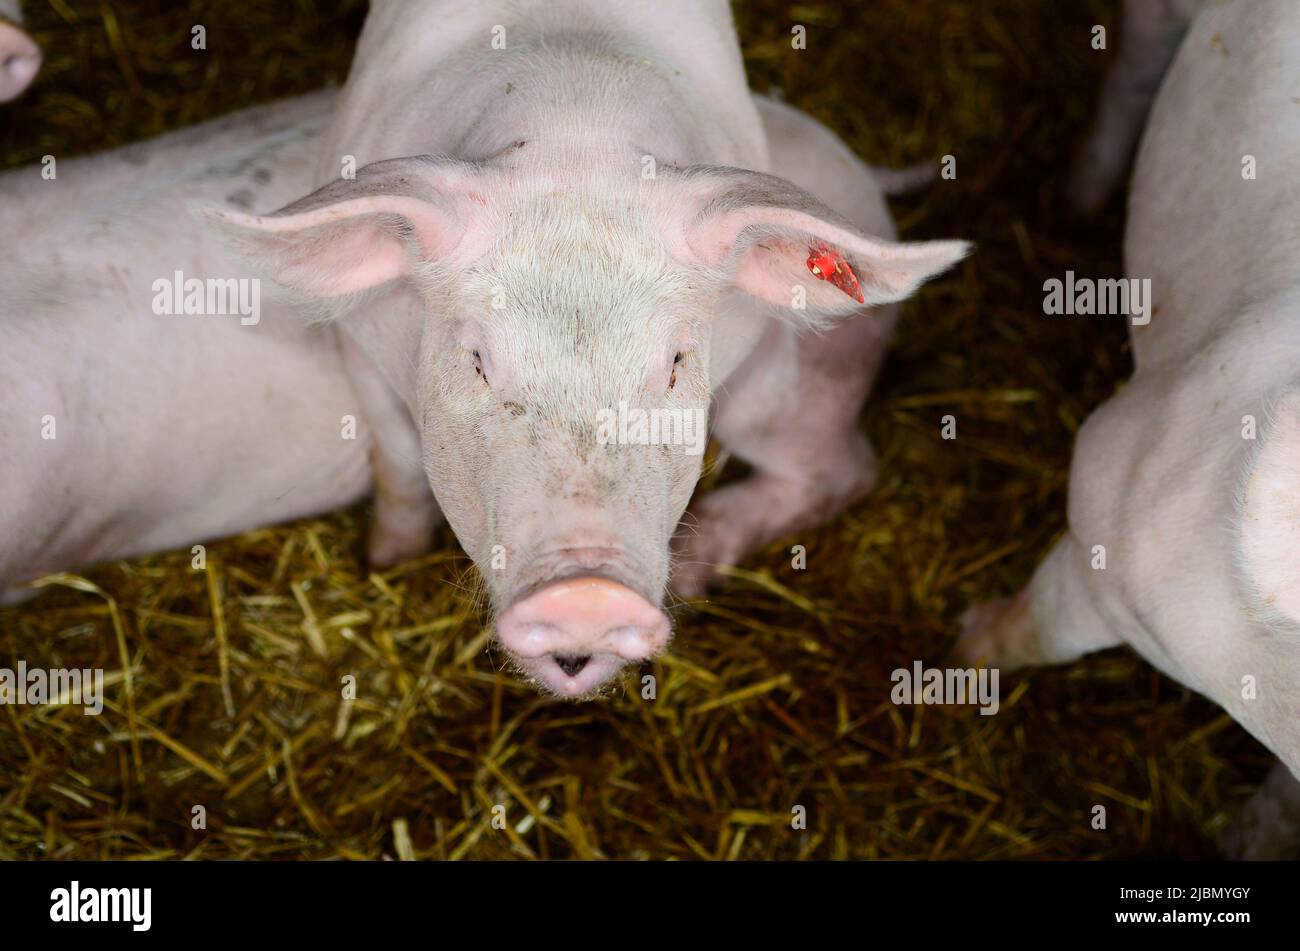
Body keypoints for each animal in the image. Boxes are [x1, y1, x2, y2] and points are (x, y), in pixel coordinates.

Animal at [206, 0, 970, 697]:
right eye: (477, 360)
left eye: (676, 363)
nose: (586, 592)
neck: (574, 124)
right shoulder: (360, 345)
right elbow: (397, 463)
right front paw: (388, 562)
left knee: (846, 467)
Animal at [958, 0, 1300, 858]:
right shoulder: (1119, 500)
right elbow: (1043, 627)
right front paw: (964, 643)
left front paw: (1242, 843)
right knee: (1143, 47)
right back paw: (1078, 200)